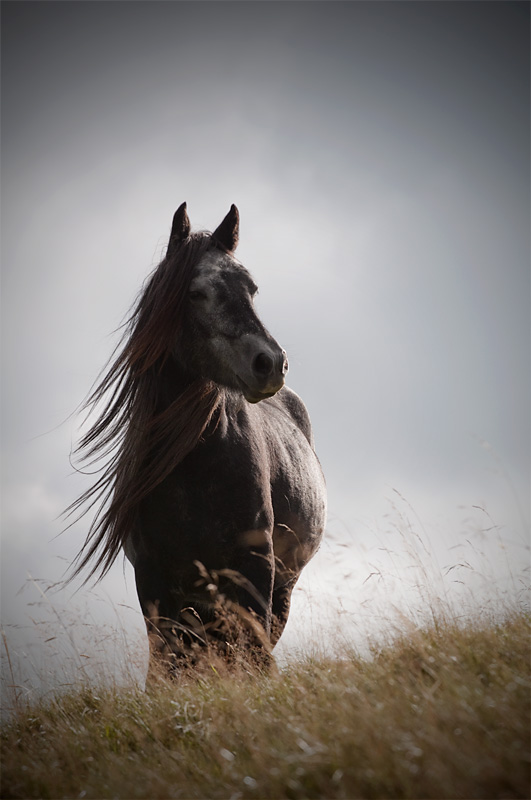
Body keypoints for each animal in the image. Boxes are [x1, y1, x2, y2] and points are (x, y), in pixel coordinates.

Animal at [69, 203, 327, 675]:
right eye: (196, 293)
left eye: (252, 289)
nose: (270, 363)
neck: (193, 472)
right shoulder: (153, 580)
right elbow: (165, 666)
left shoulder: (254, 571)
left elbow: (255, 656)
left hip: (280, 586)